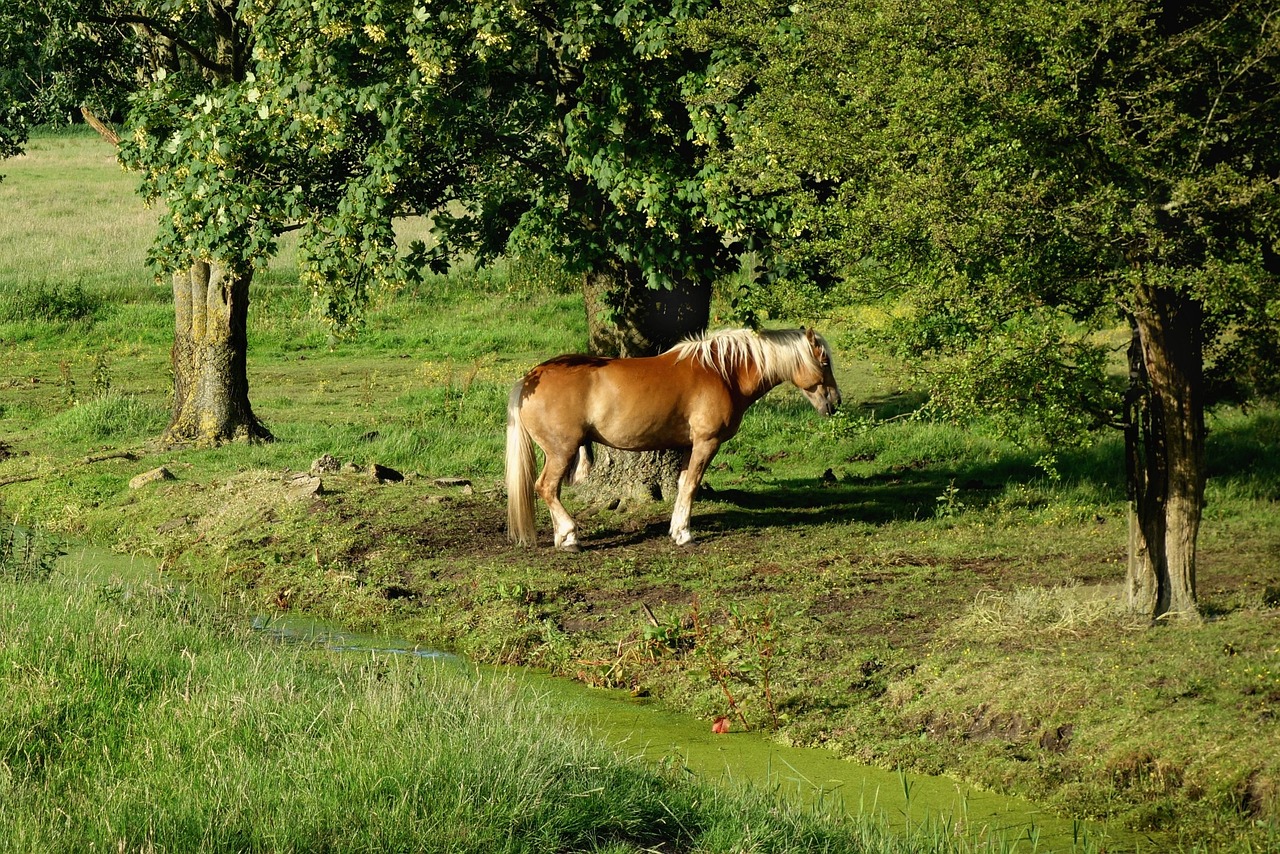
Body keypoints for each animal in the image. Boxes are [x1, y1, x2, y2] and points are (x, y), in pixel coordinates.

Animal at [505, 327, 841, 550]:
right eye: (824, 362)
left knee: (551, 490)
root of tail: (531, 377)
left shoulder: (688, 446)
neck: (723, 374)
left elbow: (682, 486)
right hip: (561, 450)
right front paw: (685, 535)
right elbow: (692, 485)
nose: (835, 402)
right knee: (545, 488)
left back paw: (562, 536)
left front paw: (676, 529)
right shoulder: (707, 442)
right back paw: (570, 536)